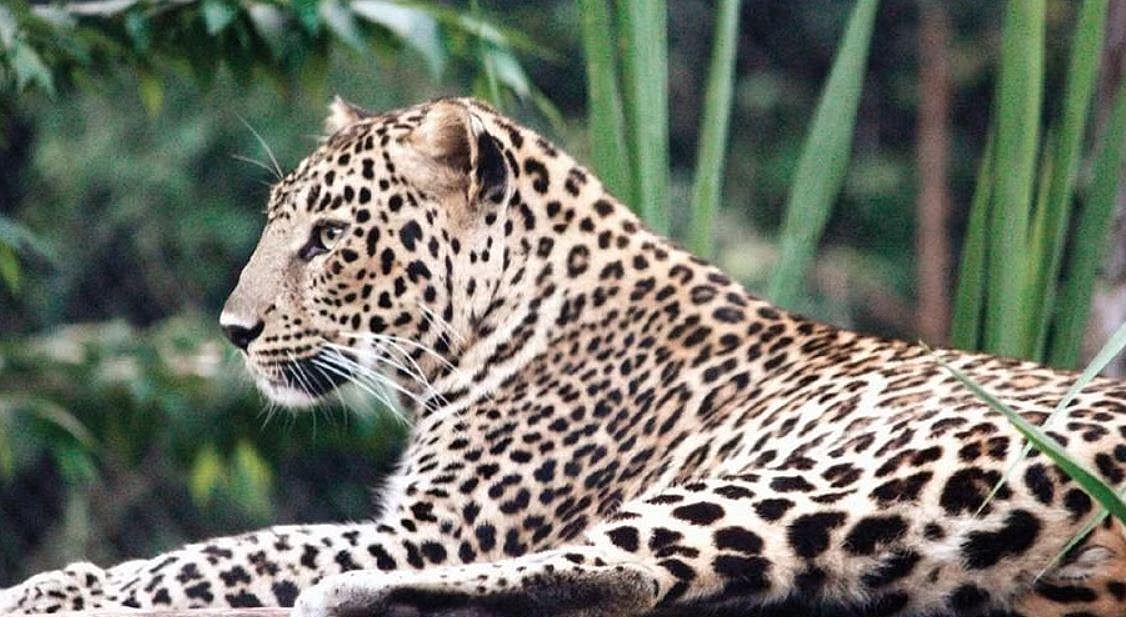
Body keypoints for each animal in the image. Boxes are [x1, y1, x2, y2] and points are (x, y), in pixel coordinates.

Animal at [3, 97, 1126, 617]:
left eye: (326, 237)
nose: (233, 331)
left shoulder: (436, 529)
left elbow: (237, 551)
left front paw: (60, 590)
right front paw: (67, 578)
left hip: (842, 469)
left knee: (625, 571)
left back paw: (351, 597)